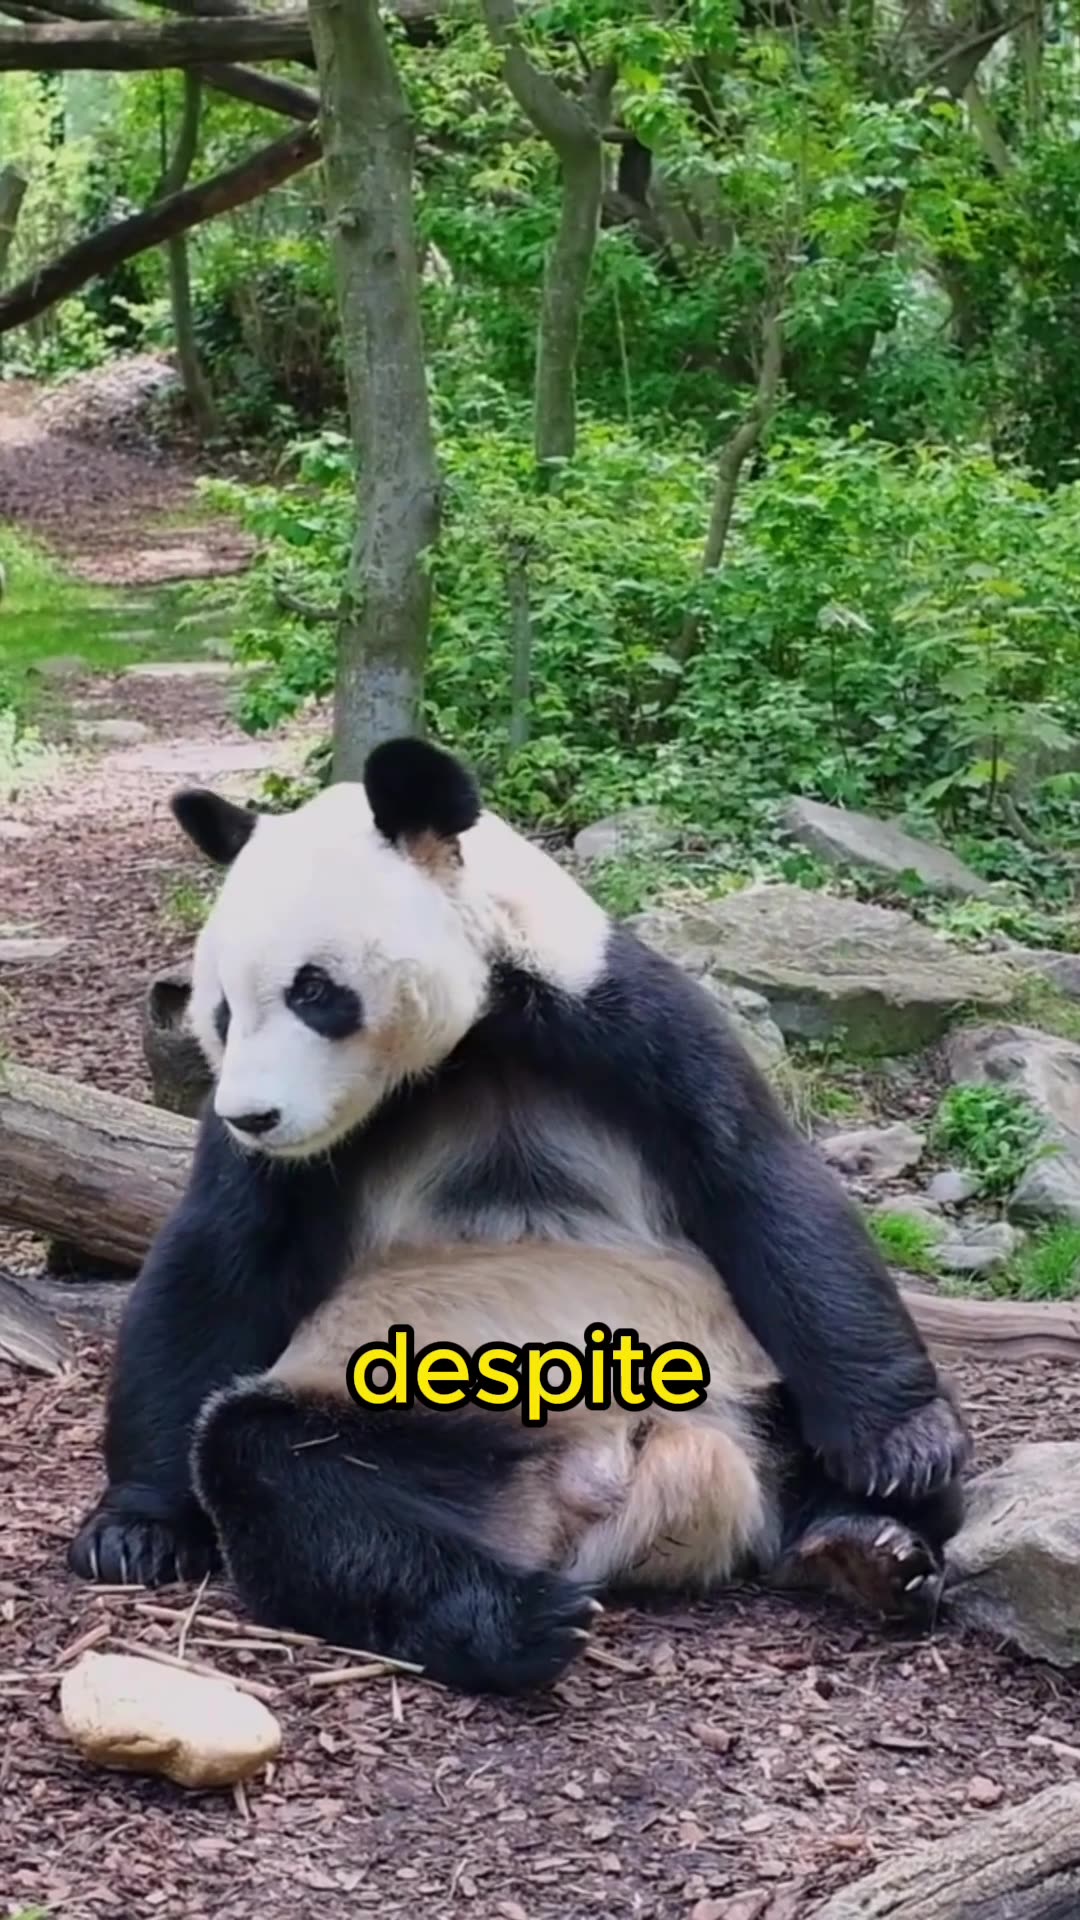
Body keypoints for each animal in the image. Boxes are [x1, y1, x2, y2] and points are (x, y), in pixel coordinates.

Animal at [69, 737, 969, 1694]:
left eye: (315, 992)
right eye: (221, 1009)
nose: (255, 1117)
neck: (472, 1047)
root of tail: (617, 1492)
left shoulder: (620, 1018)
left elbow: (760, 1183)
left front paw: (902, 1452)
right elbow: (216, 1262)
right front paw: (135, 1532)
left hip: (741, 1377)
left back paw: (868, 1542)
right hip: (415, 1421)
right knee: (289, 1480)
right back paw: (514, 1620)